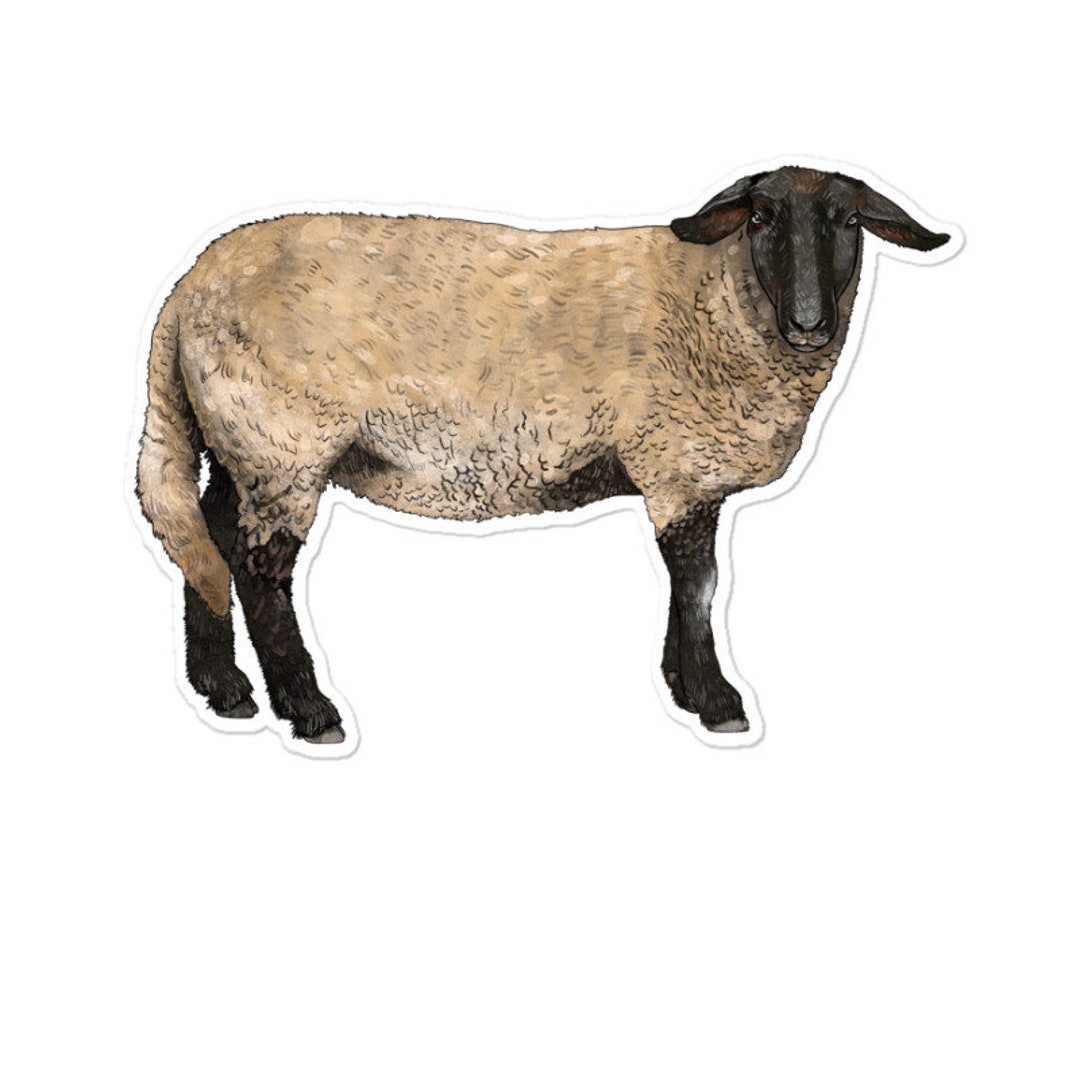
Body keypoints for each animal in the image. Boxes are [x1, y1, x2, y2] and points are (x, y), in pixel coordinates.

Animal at [136, 166, 950, 746]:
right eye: (759, 217)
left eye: (849, 221)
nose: (809, 324)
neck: (720, 297)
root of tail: (185, 292)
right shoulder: (674, 463)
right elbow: (698, 585)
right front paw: (717, 702)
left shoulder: (681, 475)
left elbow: (687, 582)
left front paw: (680, 686)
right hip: (283, 443)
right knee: (258, 571)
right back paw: (308, 710)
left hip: (232, 439)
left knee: (204, 538)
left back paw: (224, 690)